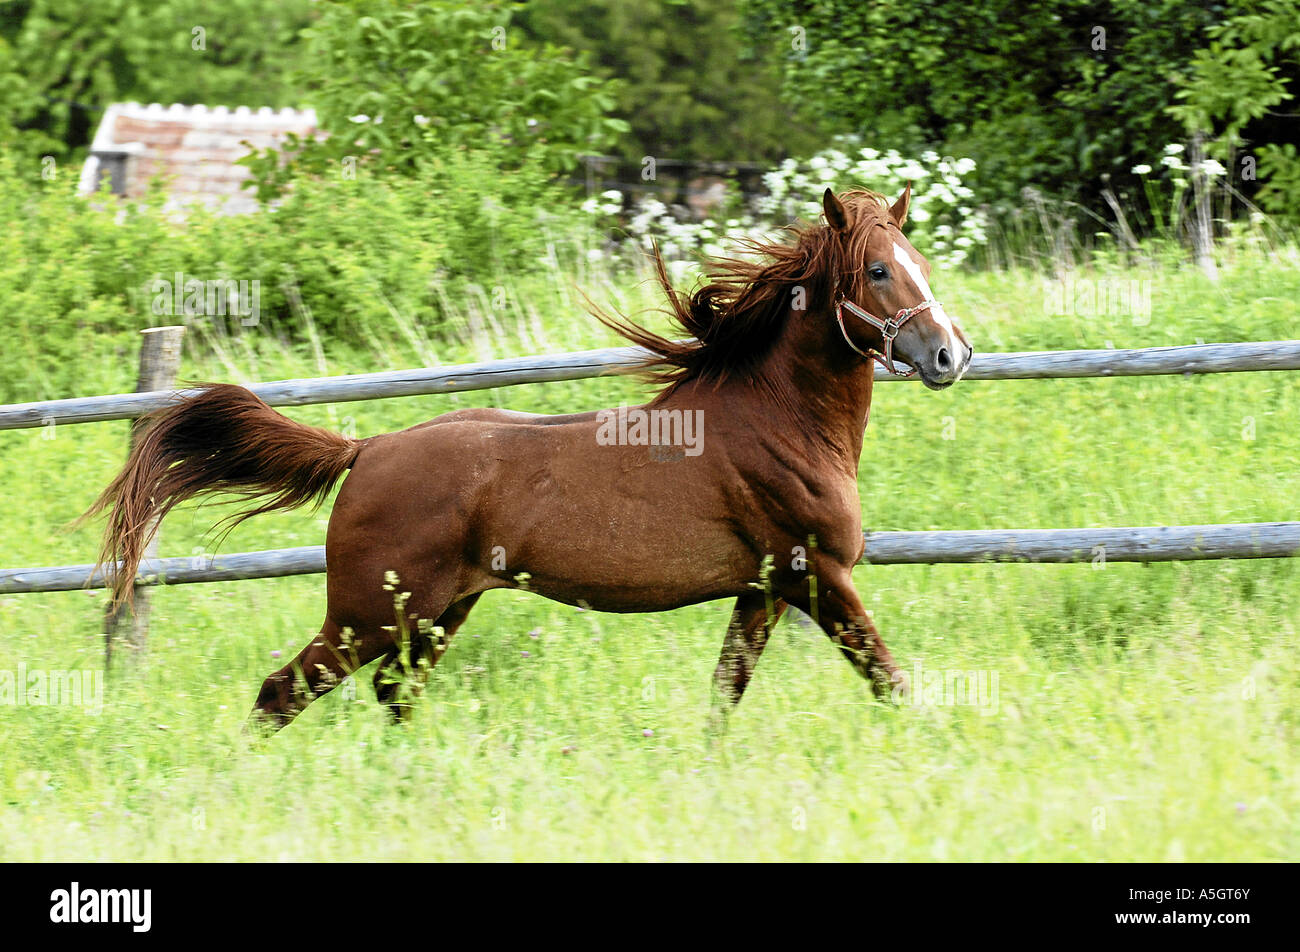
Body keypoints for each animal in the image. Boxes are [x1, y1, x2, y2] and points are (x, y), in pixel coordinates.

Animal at [84, 186, 972, 732]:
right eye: (878, 269)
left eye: (922, 264)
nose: (949, 354)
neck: (778, 421)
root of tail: (367, 450)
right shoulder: (818, 574)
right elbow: (889, 681)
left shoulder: (764, 590)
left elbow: (725, 695)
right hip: (369, 615)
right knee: (284, 691)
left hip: (435, 614)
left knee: (392, 696)